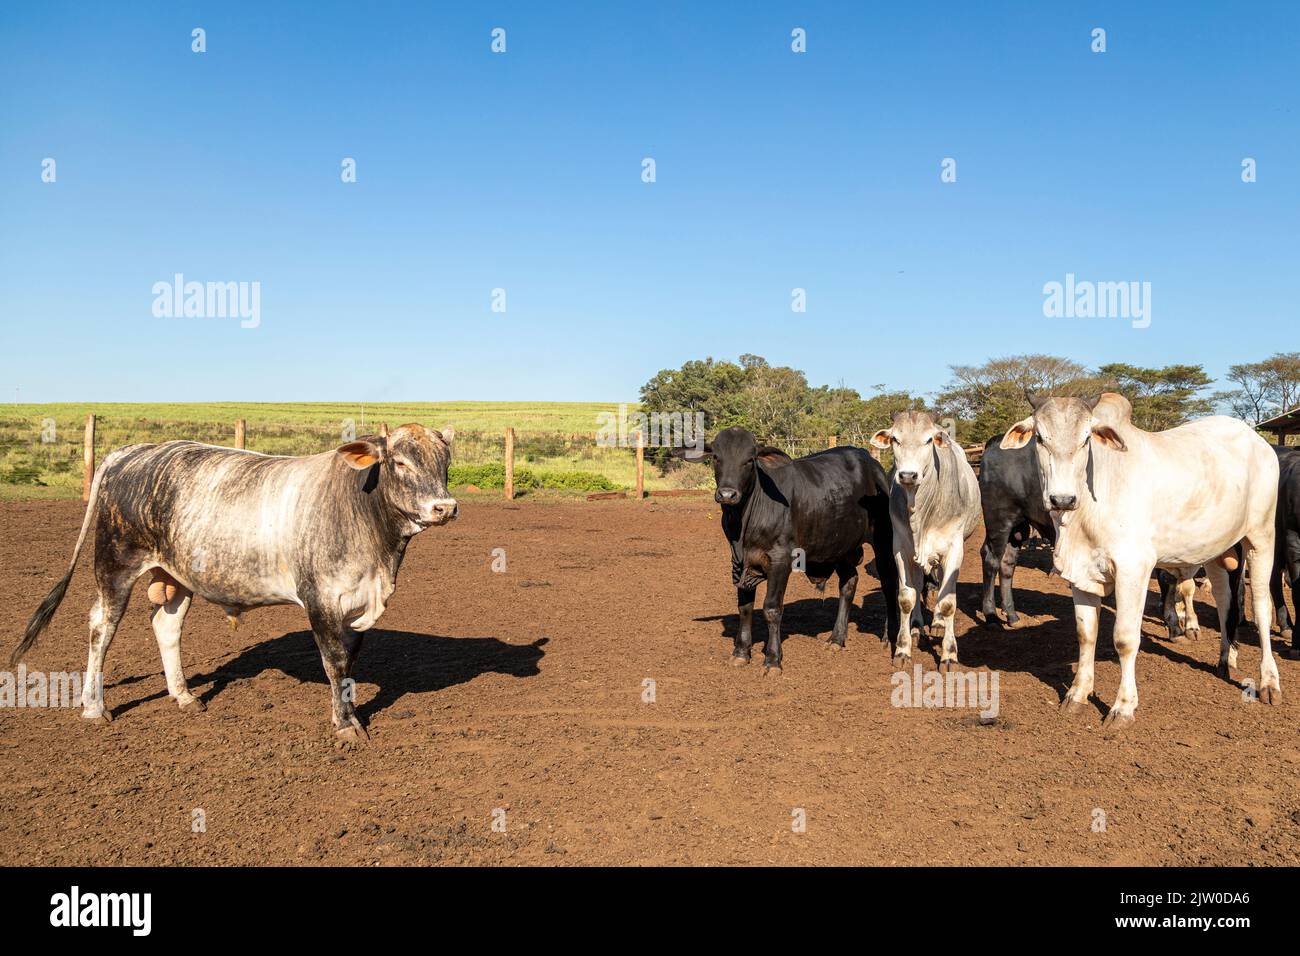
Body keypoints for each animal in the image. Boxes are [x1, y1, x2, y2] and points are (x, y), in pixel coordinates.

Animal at [12, 425, 458, 742]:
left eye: (445, 463)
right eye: (400, 462)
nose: (445, 507)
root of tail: (133, 450)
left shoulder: (357, 606)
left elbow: (348, 664)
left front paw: (348, 714)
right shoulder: (322, 600)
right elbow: (334, 662)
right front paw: (347, 726)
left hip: (176, 574)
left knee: (166, 626)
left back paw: (184, 696)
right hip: (115, 562)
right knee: (101, 627)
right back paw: (94, 708)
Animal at [672, 426, 899, 674]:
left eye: (749, 460)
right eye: (716, 457)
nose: (727, 494)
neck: (744, 524)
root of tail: (870, 461)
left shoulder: (780, 561)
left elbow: (772, 608)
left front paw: (772, 659)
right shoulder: (739, 564)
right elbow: (745, 607)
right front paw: (741, 652)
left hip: (884, 542)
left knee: (889, 585)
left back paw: (888, 637)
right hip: (839, 546)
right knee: (848, 584)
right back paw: (836, 639)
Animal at [871, 411, 981, 672]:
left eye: (929, 440)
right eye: (895, 439)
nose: (908, 475)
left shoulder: (954, 549)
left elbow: (948, 602)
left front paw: (949, 654)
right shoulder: (901, 549)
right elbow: (906, 598)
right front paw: (903, 649)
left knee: (940, 584)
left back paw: (938, 623)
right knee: (921, 583)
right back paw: (917, 625)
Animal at [1000, 391, 1280, 727]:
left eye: (1086, 439)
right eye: (1040, 438)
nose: (1062, 499)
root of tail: (1257, 440)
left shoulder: (1133, 569)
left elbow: (1125, 638)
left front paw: (1123, 707)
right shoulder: (1081, 573)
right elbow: (1085, 634)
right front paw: (1077, 695)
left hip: (1261, 537)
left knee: (1261, 608)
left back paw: (1269, 682)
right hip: (1216, 549)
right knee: (1226, 603)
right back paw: (1225, 660)